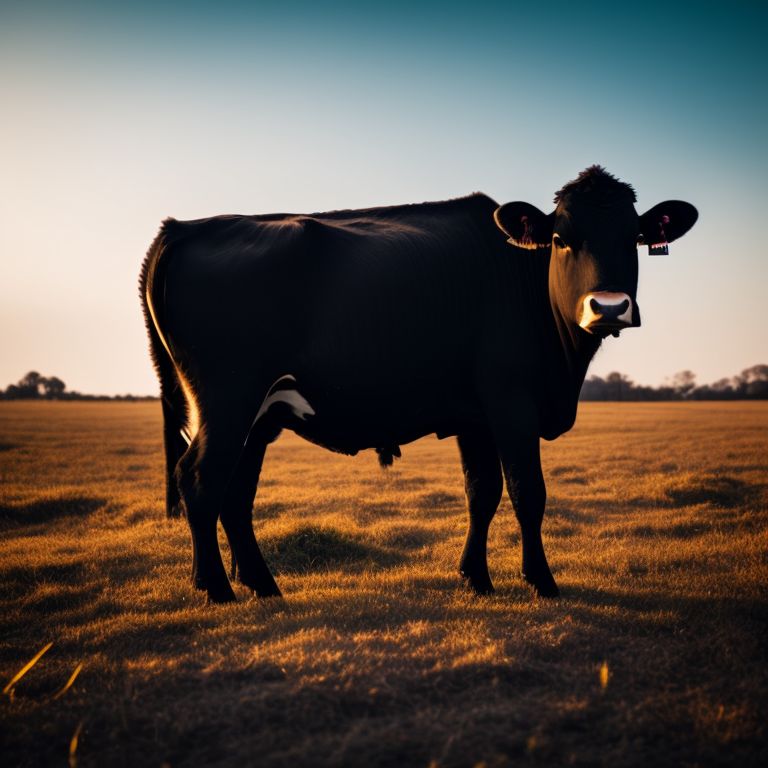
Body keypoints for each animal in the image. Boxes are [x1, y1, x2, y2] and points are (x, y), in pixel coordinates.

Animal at [140, 166, 697, 603]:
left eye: (632, 239)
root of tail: (182, 229)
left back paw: (262, 584)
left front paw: (476, 578)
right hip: (227, 401)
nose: (608, 307)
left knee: (235, 494)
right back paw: (217, 588)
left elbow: (482, 493)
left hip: (257, 418)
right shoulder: (511, 403)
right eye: (562, 239)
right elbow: (528, 492)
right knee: (199, 479)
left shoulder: (476, 418)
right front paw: (542, 582)